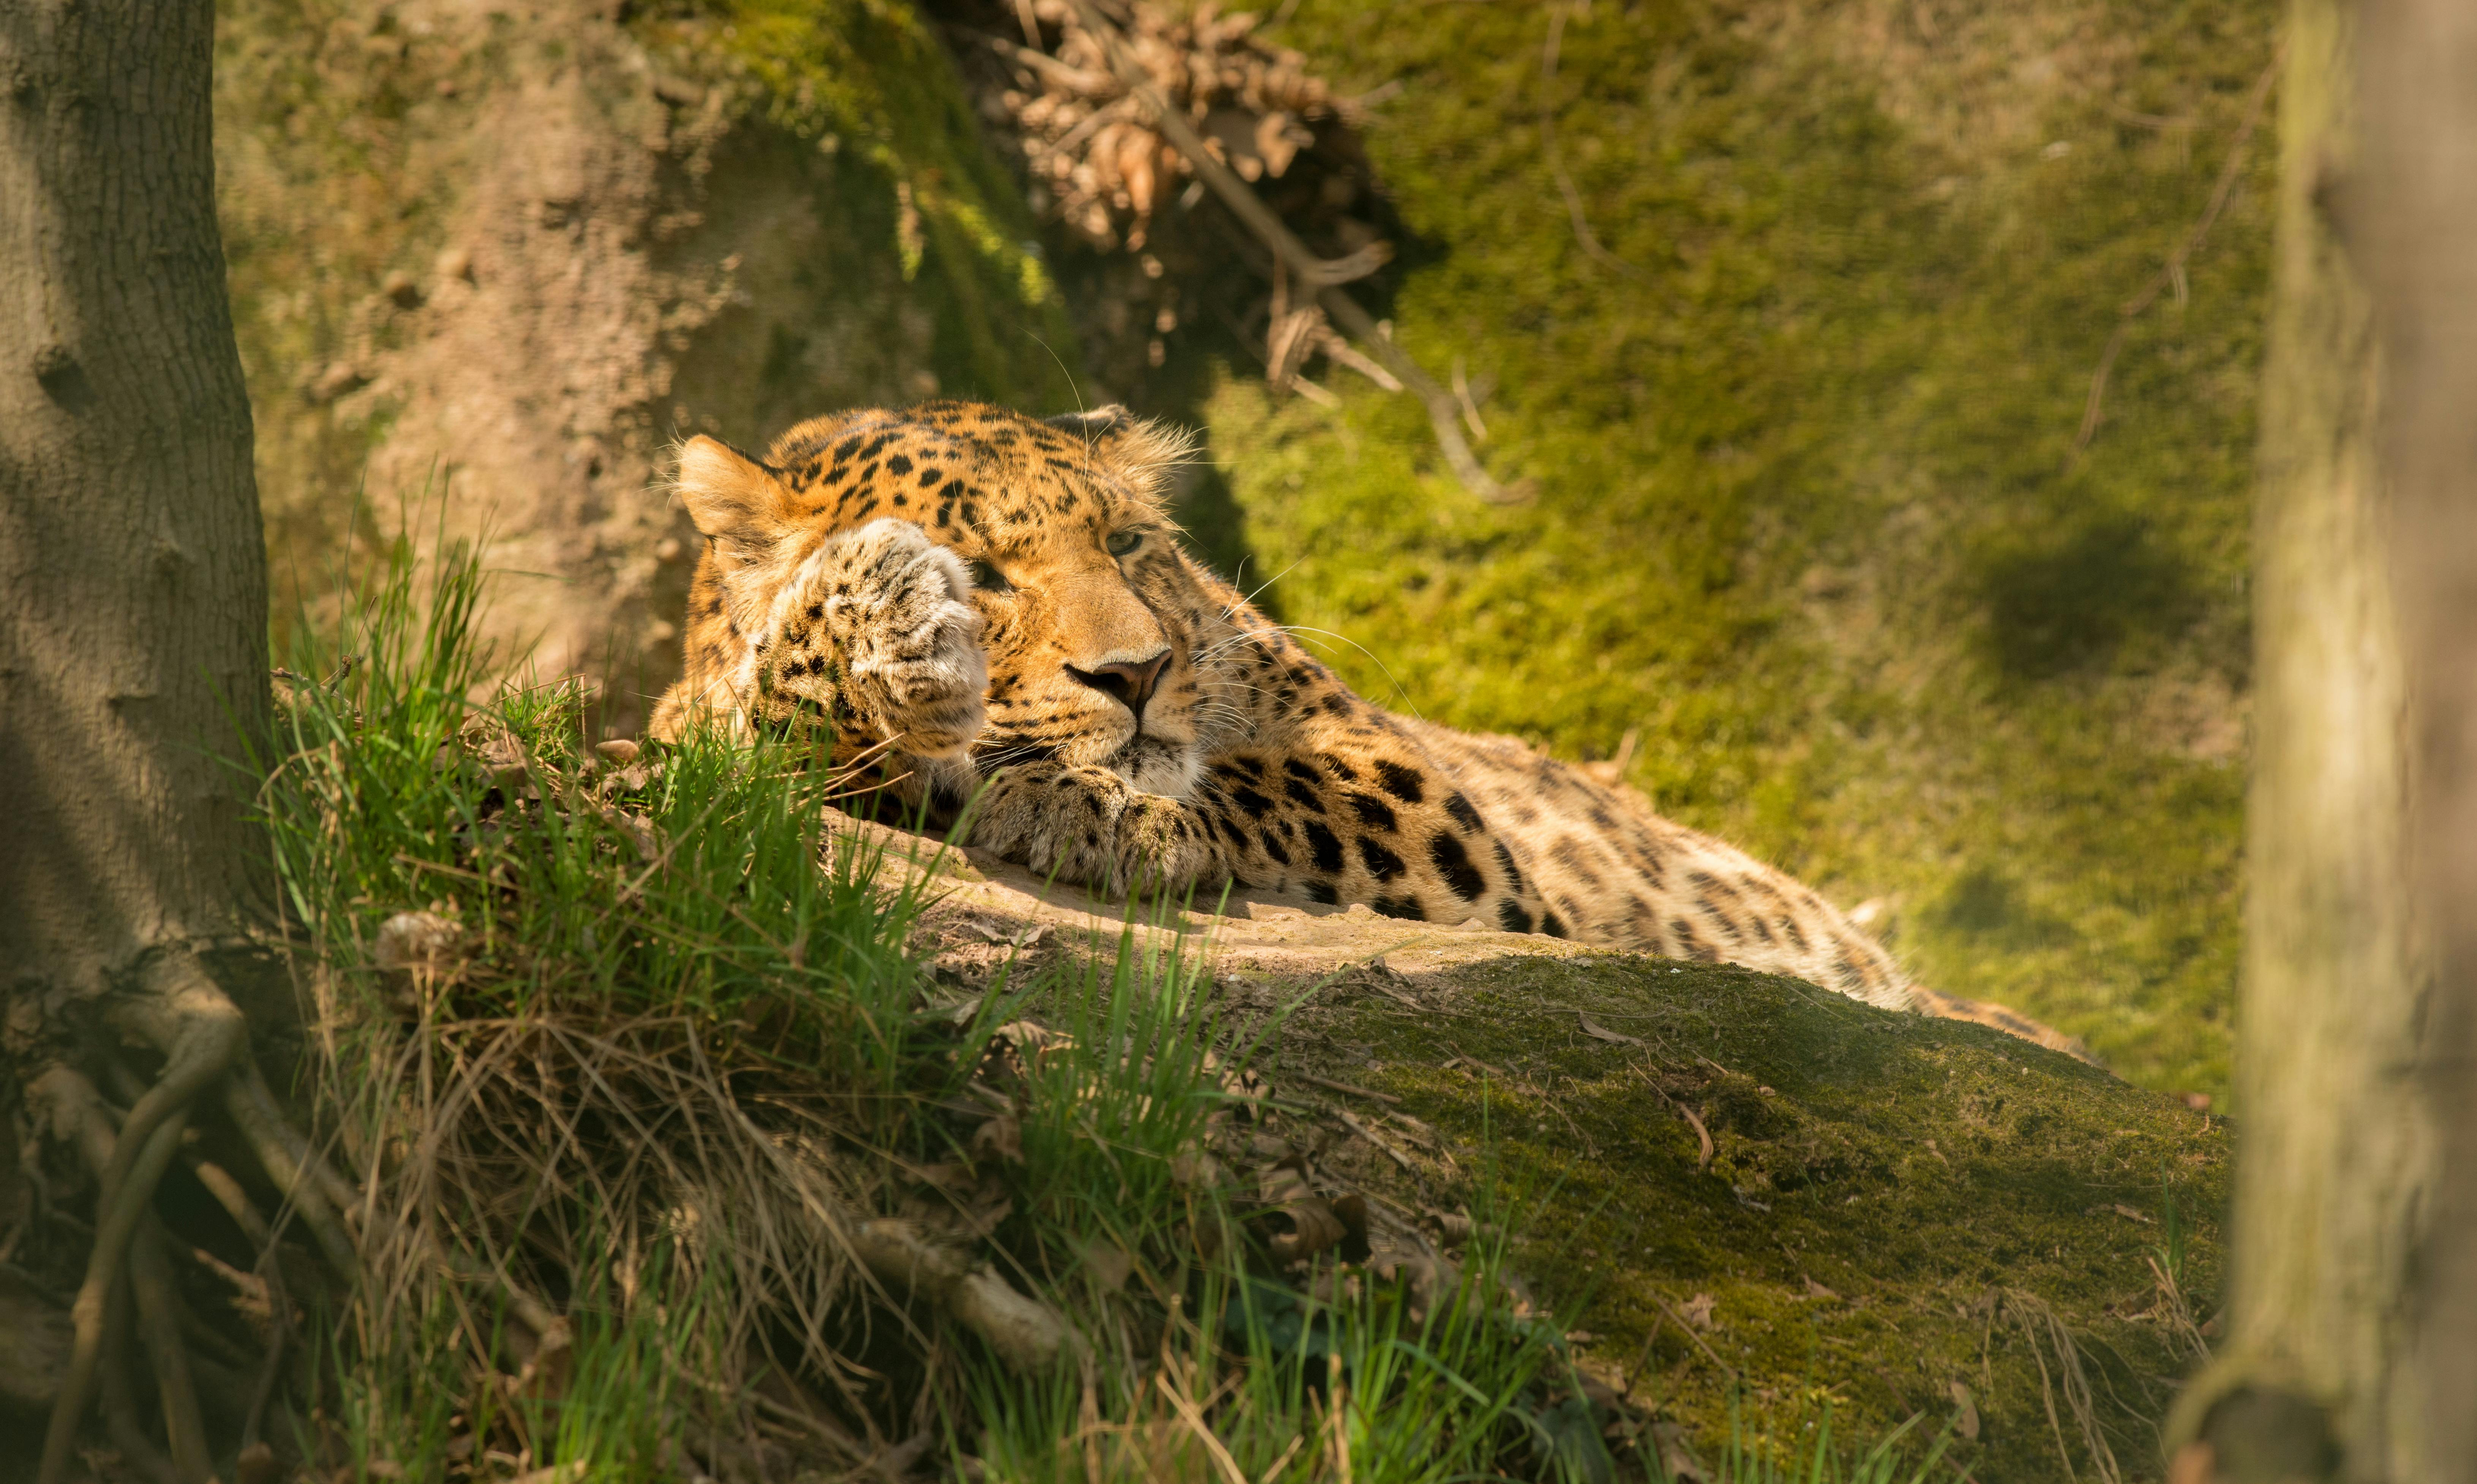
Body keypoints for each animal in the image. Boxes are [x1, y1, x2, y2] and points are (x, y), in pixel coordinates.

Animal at [648, 401, 2083, 1057]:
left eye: (1124, 544)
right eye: (982, 574)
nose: (1139, 669)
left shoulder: (1414, 791)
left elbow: (1268, 784)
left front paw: (1099, 808)